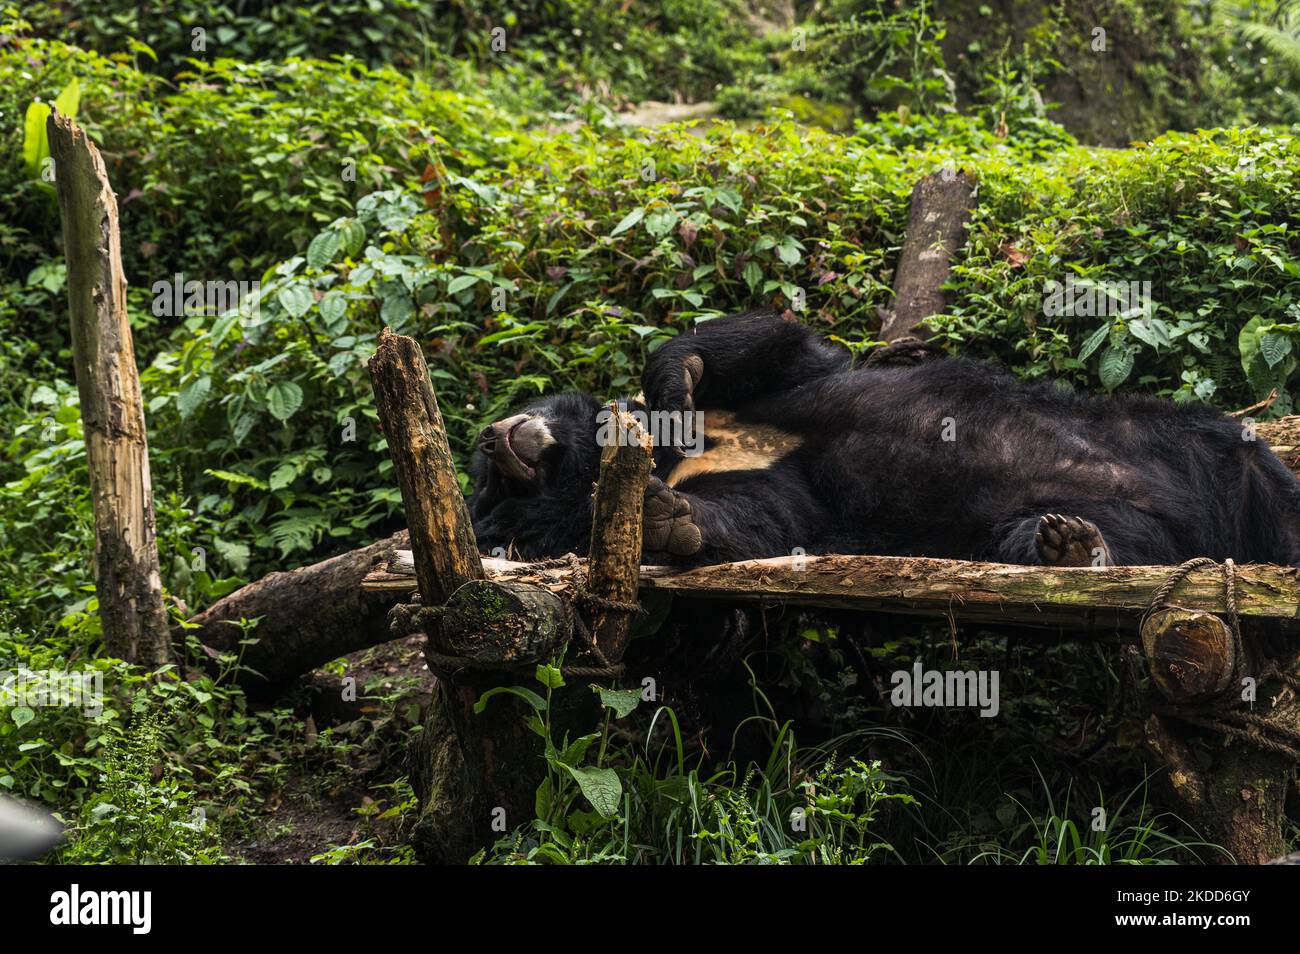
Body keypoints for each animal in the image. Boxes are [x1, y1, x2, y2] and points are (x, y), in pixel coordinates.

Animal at [469, 309, 1300, 568]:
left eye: (485, 475)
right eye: (494, 502)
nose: (498, 438)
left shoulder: (778, 397)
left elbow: (774, 346)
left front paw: (673, 387)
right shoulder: (793, 491)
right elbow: (761, 517)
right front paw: (665, 517)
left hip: (1187, 434)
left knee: (1267, 484)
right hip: (1135, 522)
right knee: (1095, 534)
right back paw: (1070, 544)